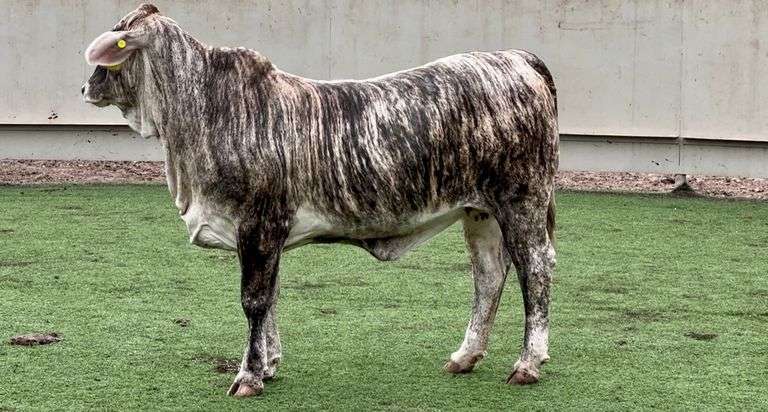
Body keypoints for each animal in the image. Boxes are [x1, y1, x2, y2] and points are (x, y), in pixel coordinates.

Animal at [82, 4, 558, 397]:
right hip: (480, 212)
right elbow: (271, 297)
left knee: (535, 270)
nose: (86, 86)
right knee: (489, 275)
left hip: (522, 201)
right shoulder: (262, 238)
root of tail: (514, 57)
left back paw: (527, 364)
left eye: (115, 47)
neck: (205, 112)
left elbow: (254, 300)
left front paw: (249, 376)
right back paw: (465, 356)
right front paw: (268, 365)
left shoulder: (258, 226)